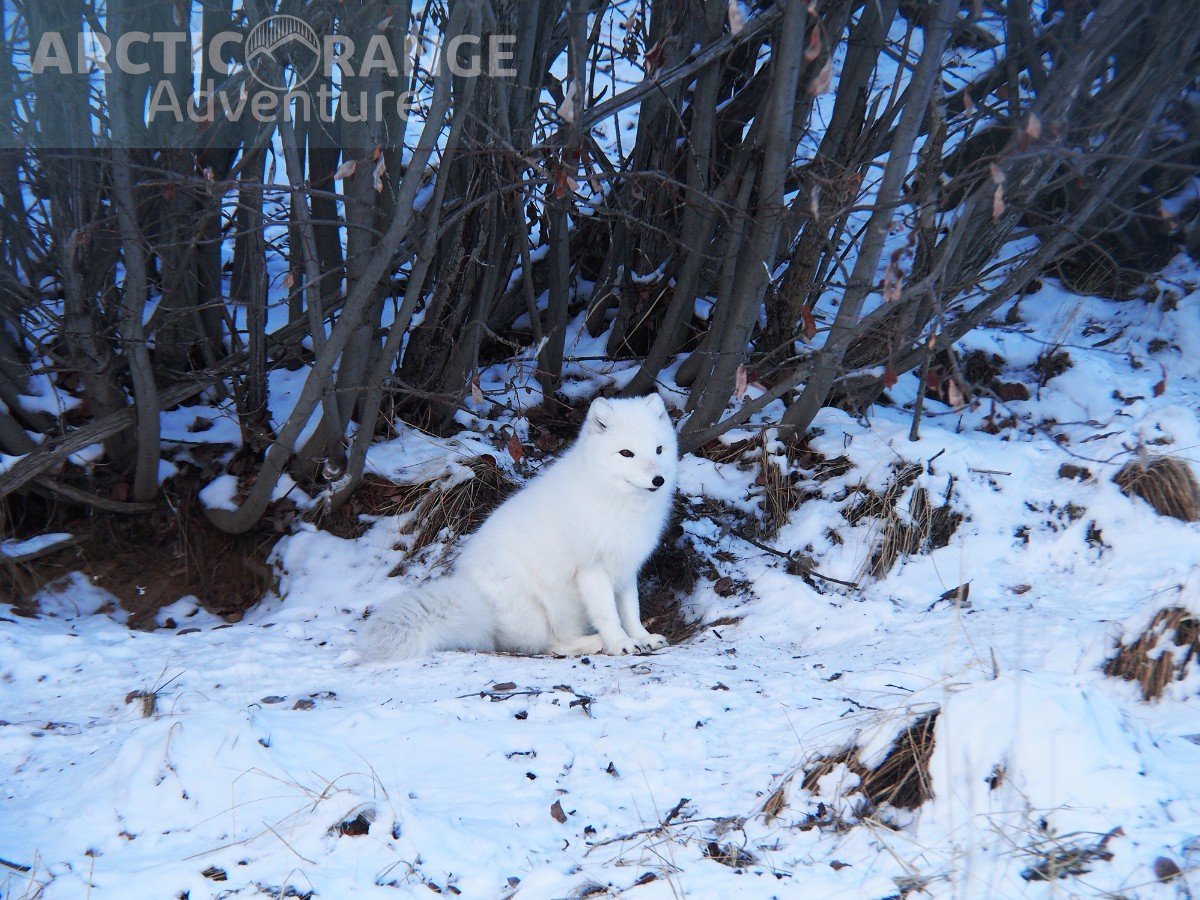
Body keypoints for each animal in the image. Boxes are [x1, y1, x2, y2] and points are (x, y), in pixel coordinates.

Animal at [362, 393, 679, 659]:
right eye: (626, 453)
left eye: (659, 450)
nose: (659, 480)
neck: (615, 499)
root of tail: (474, 596)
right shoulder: (593, 570)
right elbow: (609, 615)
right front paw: (621, 642)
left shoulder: (625, 568)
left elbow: (630, 610)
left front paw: (642, 637)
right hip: (542, 610)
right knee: (549, 644)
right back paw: (594, 642)